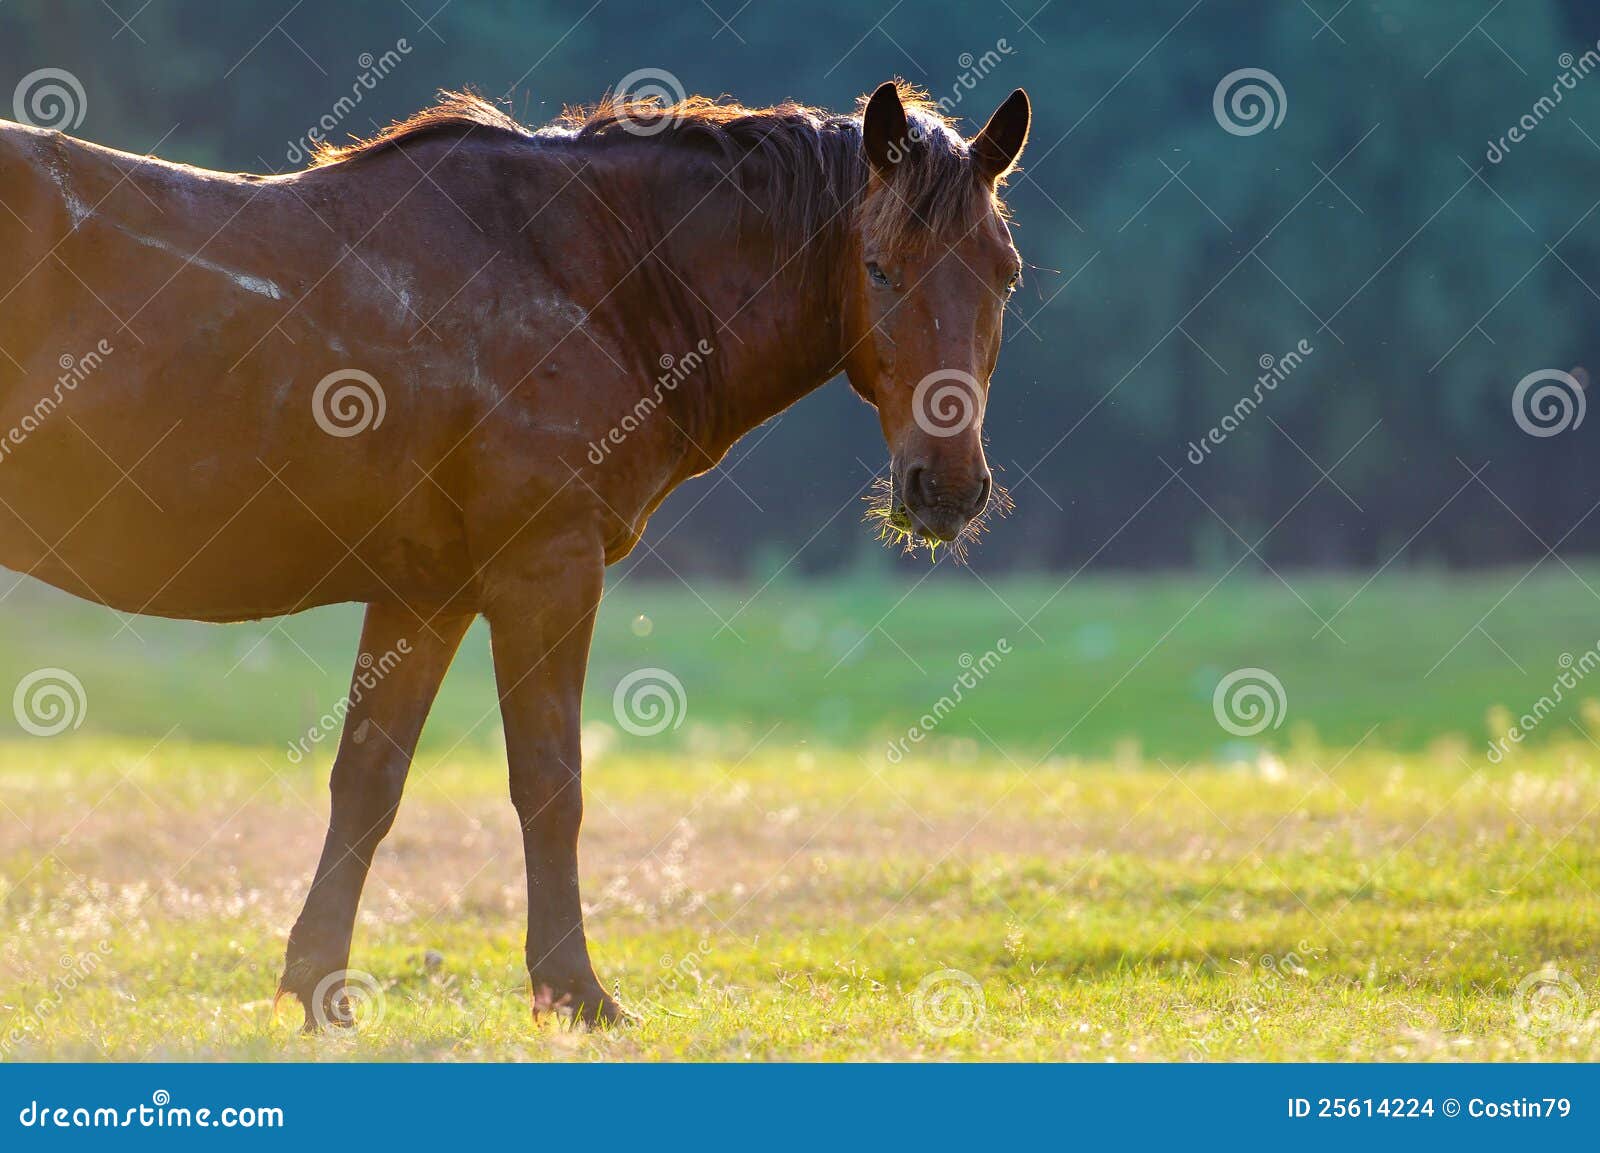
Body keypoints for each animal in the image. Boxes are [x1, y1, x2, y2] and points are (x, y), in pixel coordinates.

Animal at [0, 78, 1030, 1027]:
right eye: (880, 268)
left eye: (1006, 273)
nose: (946, 487)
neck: (594, 276)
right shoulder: (548, 570)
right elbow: (549, 785)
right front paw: (575, 990)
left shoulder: (427, 594)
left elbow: (367, 784)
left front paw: (320, 988)